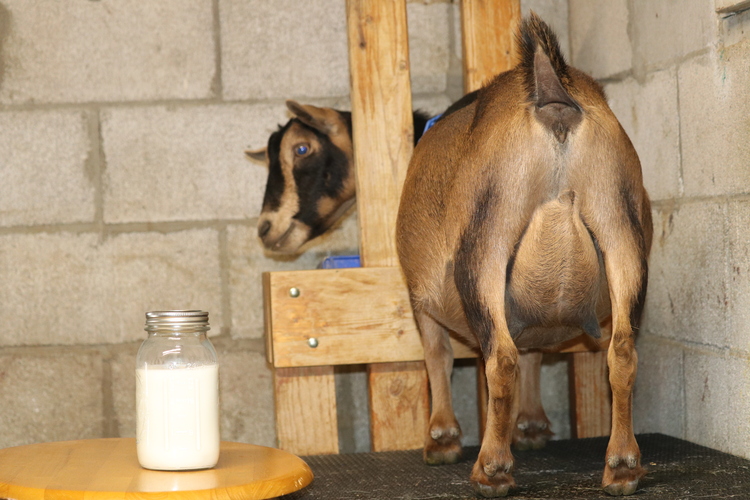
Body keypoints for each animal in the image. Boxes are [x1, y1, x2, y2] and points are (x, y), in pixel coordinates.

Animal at [396, 13, 652, 498]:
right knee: (623, 350)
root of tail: (551, 93)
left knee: (501, 359)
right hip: (620, 223)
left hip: (485, 240)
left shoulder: (421, 299)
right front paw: (531, 426)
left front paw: (442, 438)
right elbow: (532, 349)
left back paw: (492, 468)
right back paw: (622, 466)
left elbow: (437, 354)